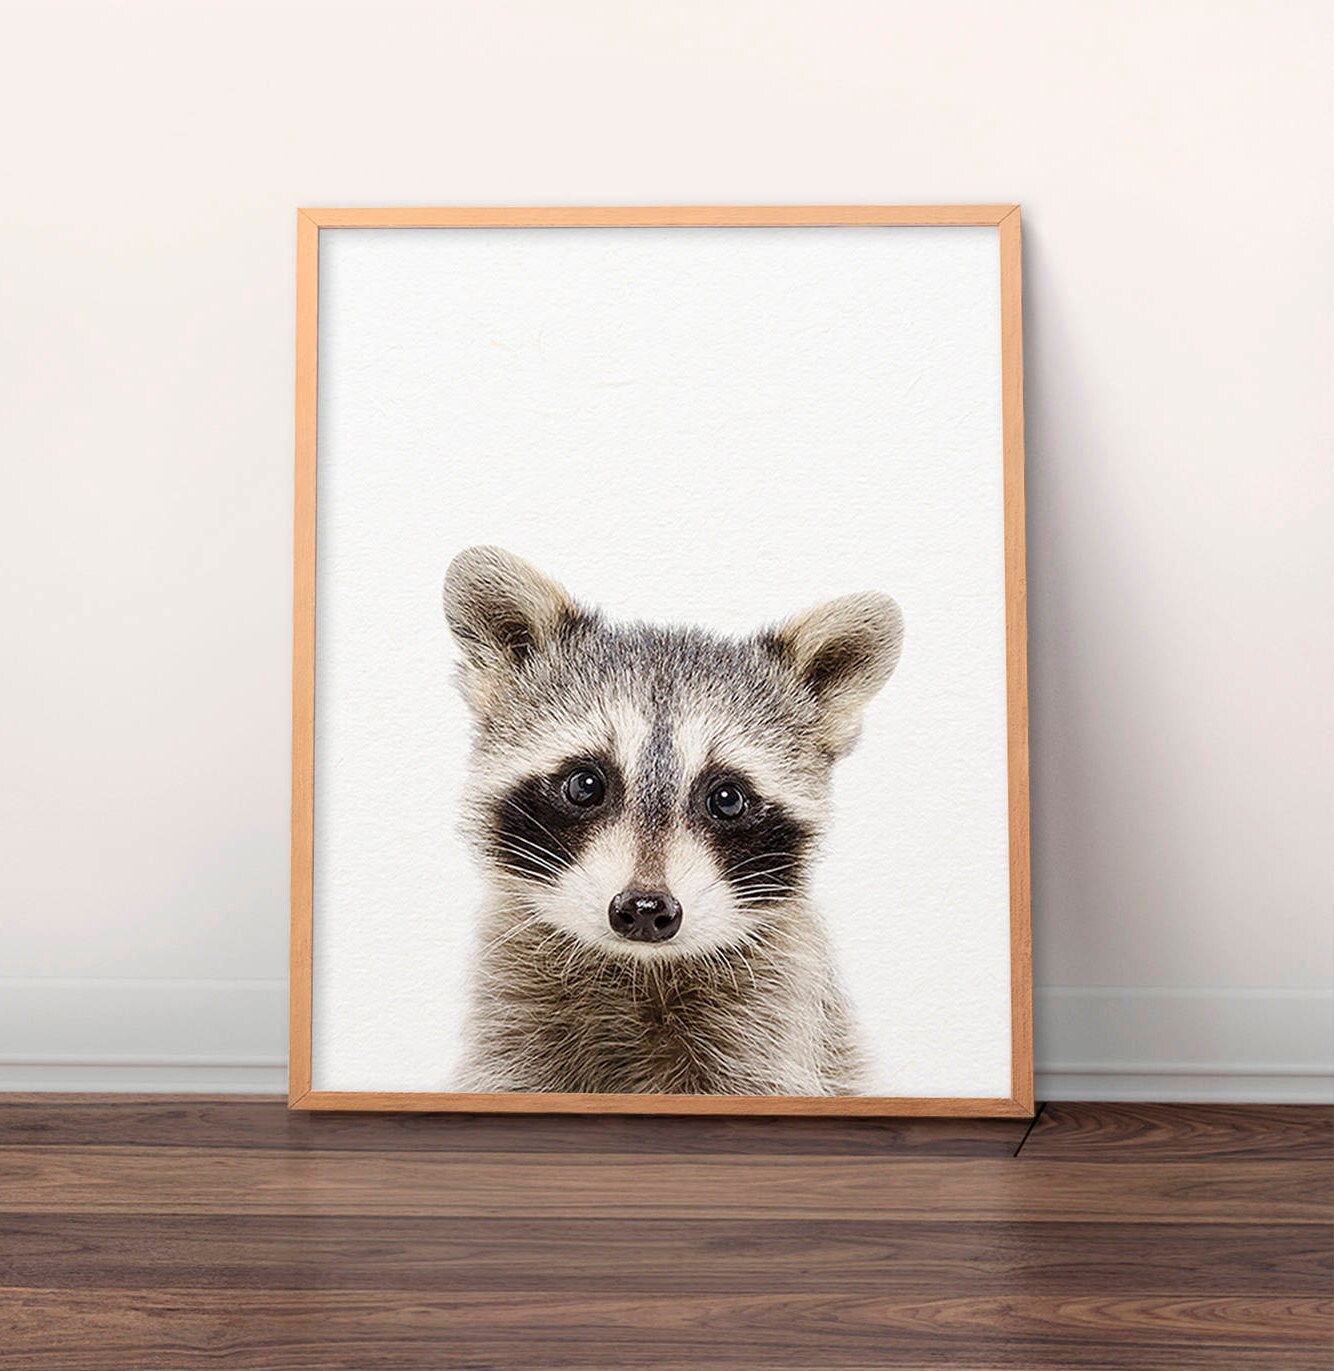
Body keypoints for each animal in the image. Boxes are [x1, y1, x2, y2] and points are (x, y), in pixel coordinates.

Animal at [442, 546, 904, 1096]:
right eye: (585, 785)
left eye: (727, 798)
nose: (645, 908)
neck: (641, 969)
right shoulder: (514, 1019)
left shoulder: (771, 1022)